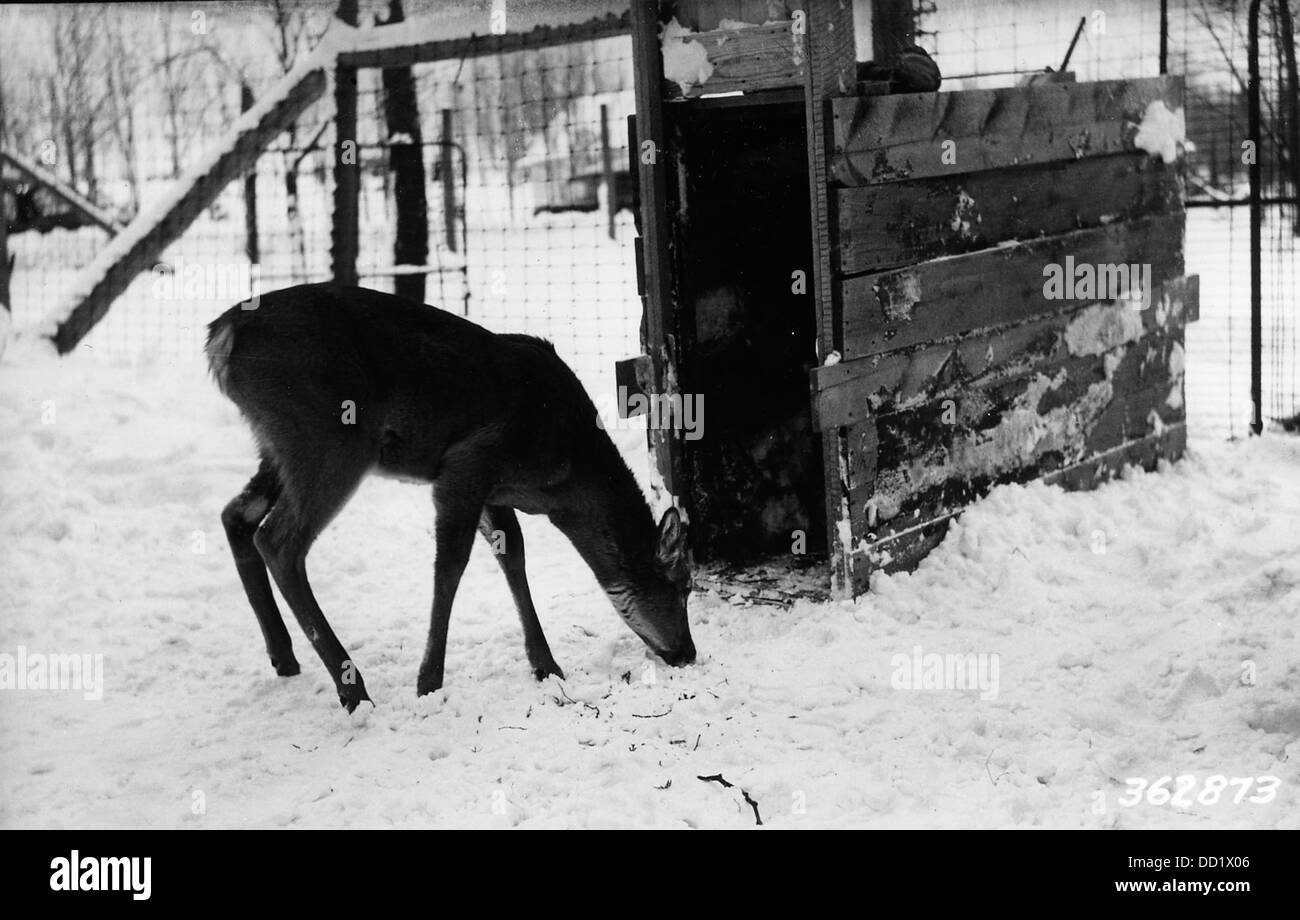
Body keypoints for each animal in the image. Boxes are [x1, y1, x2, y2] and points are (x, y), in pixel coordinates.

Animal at [207, 283, 695, 713]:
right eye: (682, 586)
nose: (688, 652)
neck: (565, 477)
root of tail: (220, 335)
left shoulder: (494, 488)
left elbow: (513, 555)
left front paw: (545, 665)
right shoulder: (467, 462)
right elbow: (451, 564)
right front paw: (428, 682)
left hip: (276, 445)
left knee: (237, 515)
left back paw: (284, 656)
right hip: (327, 436)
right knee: (279, 540)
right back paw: (354, 692)